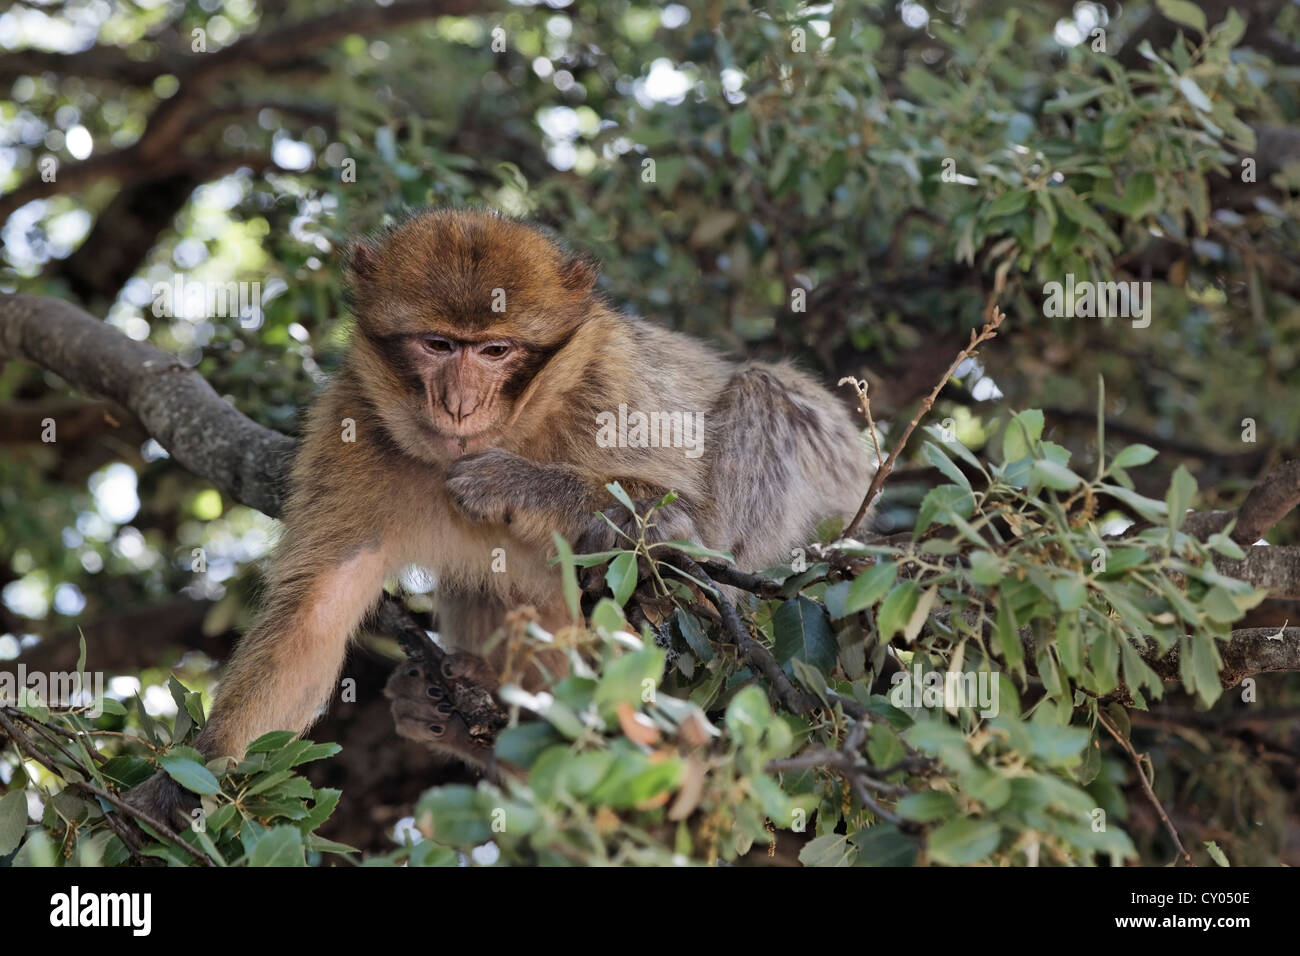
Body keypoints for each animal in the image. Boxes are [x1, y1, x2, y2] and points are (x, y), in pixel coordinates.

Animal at [126, 208, 872, 824]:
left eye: (494, 350)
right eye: (437, 344)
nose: (458, 404)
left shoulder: (612, 379)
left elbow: (689, 527)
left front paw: (517, 483)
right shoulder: (349, 426)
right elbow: (315, 613)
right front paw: (188, 780)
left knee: (763, 395)